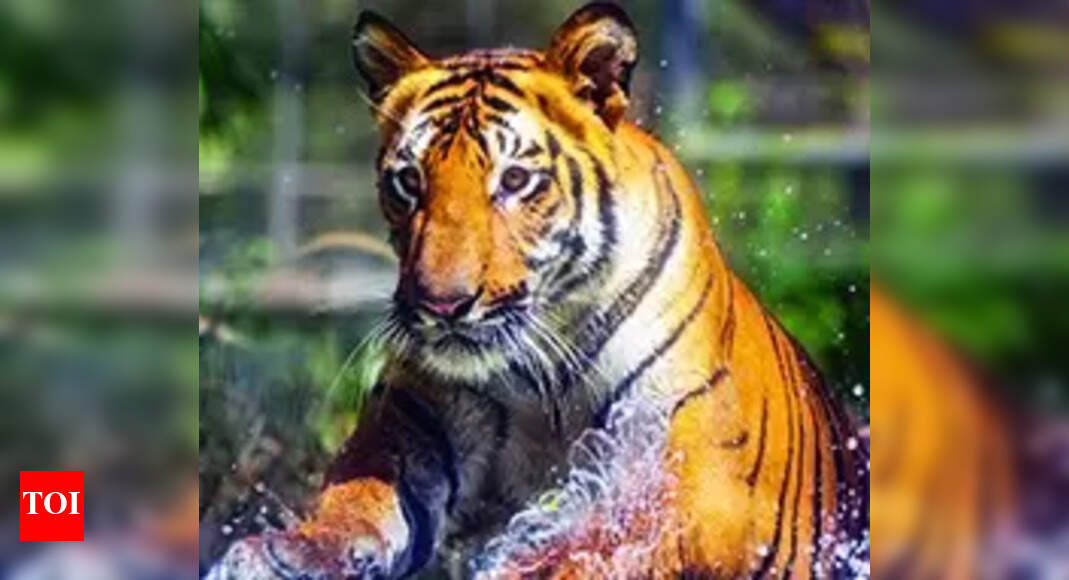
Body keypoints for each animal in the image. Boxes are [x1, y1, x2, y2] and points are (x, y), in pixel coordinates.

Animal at [209, 3, 867, 578]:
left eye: (516, 180)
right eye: (409, 181)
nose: (441, 305)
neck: (545, 374)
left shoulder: (696, 477)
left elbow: (610, 539)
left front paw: (528, 563)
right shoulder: (417, 420)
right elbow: (359, 496)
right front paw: (284, 554)